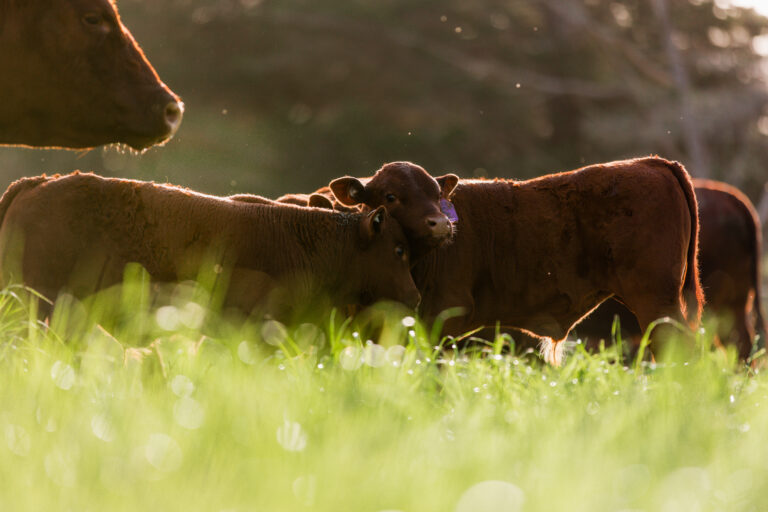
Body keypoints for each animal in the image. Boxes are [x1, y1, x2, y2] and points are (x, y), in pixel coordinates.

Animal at [328, 157, 703, 365]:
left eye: (436, 194)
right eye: (390, 196)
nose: (441, 223)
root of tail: (650, 162)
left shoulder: (444, 317)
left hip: (656, 299)